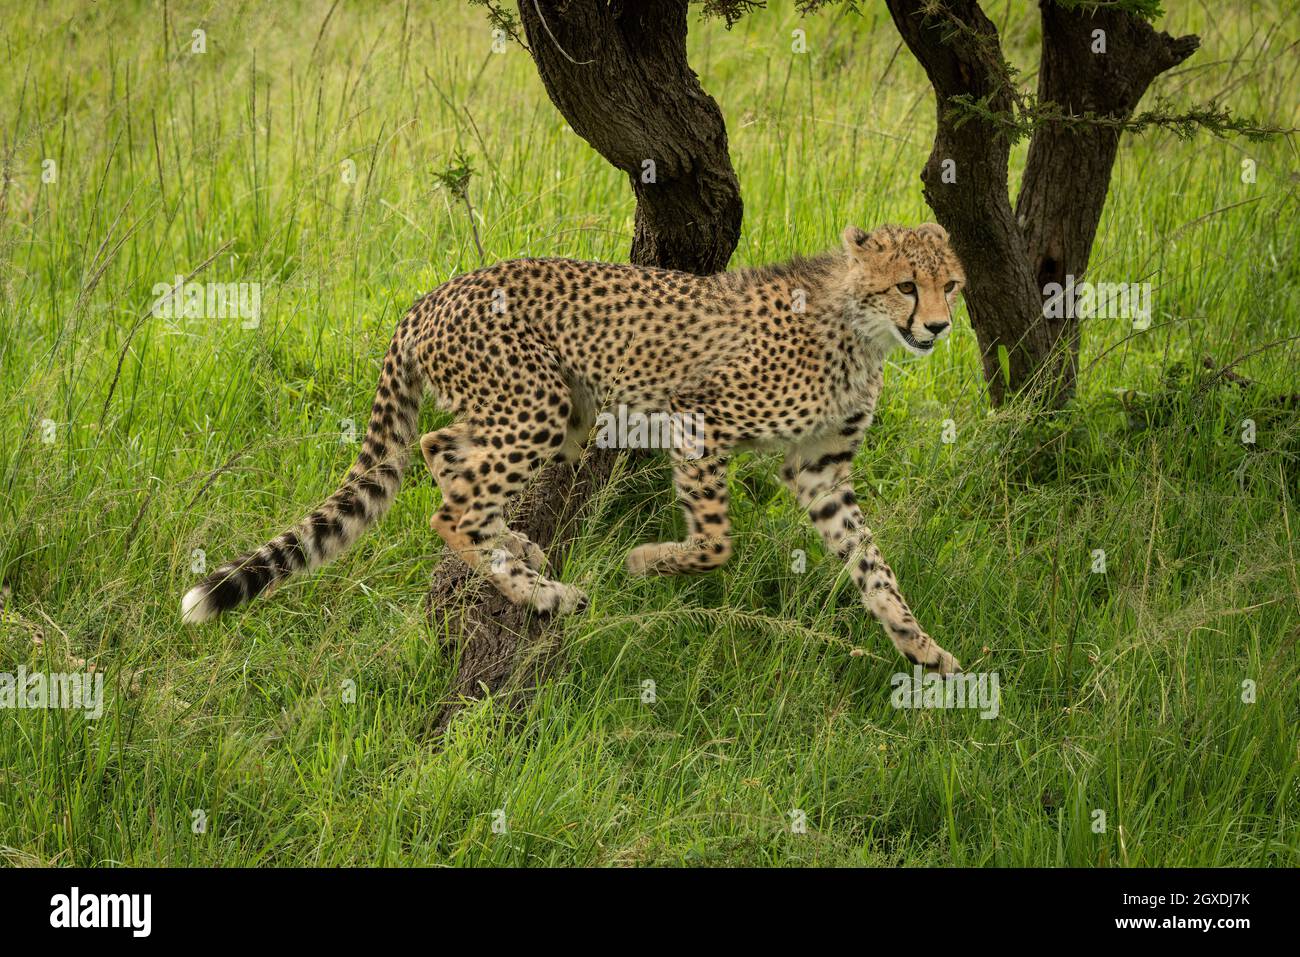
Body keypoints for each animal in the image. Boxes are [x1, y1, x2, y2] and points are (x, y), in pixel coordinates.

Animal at [181, 222, 965, 674]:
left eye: (952, 283)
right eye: (906, 285)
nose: (939, 326)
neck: (859, 330)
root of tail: (431, 296)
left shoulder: (819, 467)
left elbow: (875, 569)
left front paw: (926, 652)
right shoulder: (698, 418)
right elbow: (716, 541)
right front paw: (646, 563)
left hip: (539, 411)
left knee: (442, 448)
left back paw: (515, 545)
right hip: (541, 403)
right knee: (450, 510)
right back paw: (541, 592)